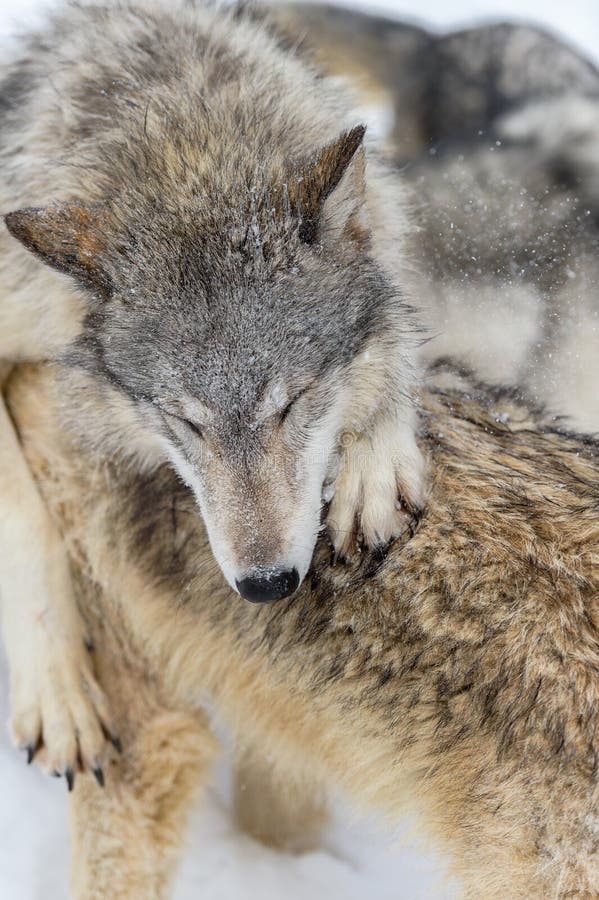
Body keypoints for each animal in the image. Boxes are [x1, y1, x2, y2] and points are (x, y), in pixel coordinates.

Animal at [0, 1, 425, 780]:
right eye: (185, 423)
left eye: (293, 402)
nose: (266, 585)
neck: (180, 146)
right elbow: (25, 516)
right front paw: (59, 693)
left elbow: (395, 334)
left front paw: (376, 460)